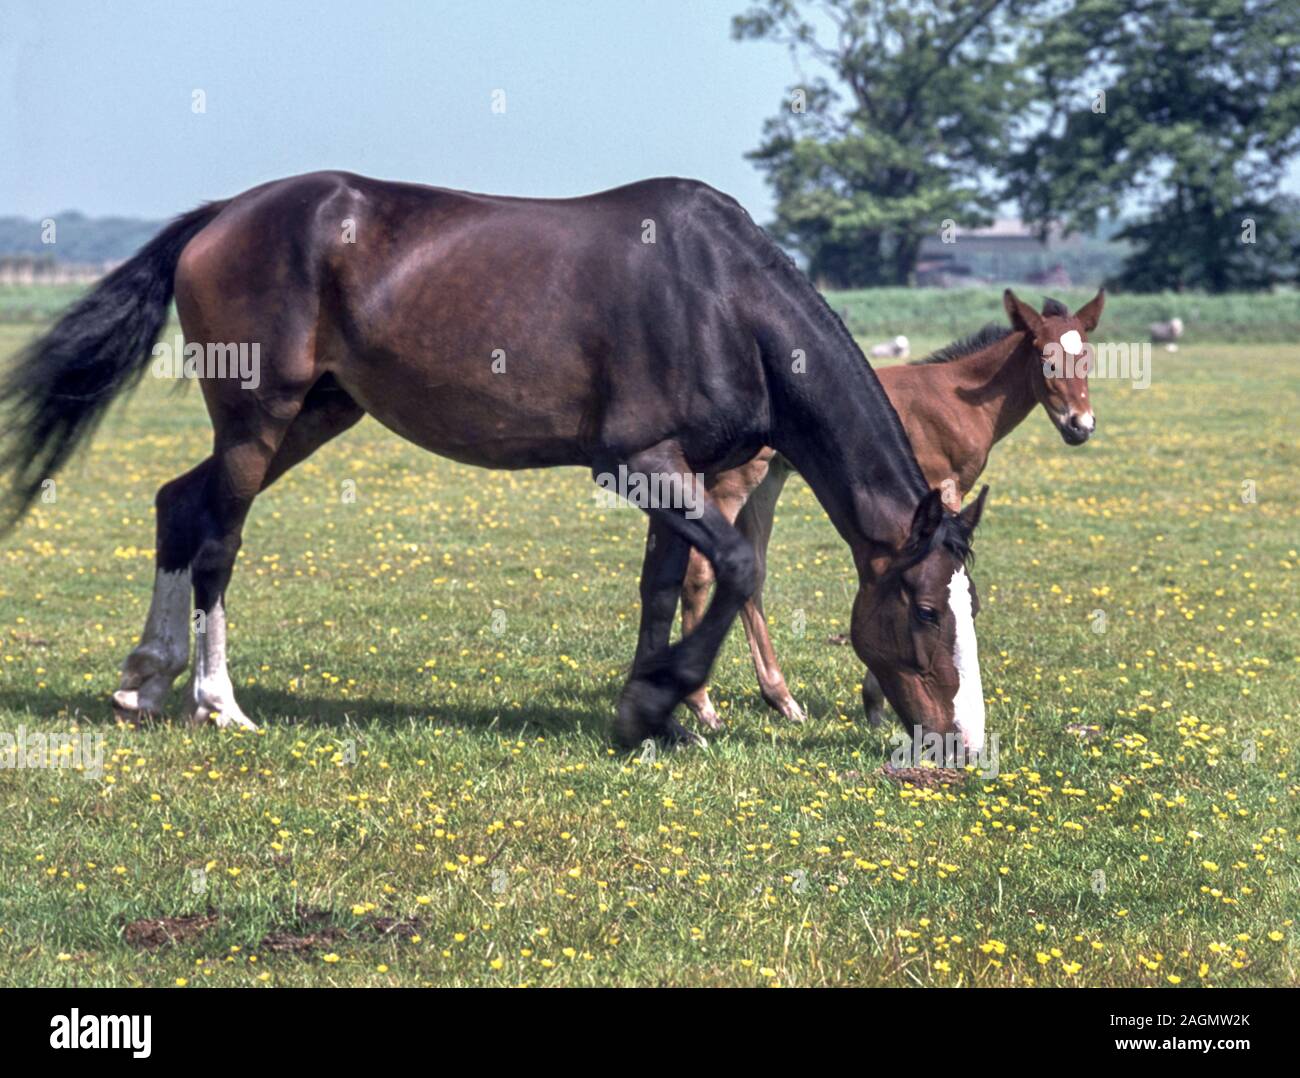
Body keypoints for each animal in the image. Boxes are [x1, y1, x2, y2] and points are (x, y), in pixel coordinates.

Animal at [0, 171, 990, 751]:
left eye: (968, 606)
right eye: (924, 608)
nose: (963, 745)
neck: (720, 298)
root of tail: (224, 215)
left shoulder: (676, 471)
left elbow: (663, 587)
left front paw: (652, 714)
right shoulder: (643, 464)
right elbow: (739, 566)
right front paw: (656, 703)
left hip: (317, 414)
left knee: (179, 504)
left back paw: (145, 681)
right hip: (259, 416)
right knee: (217, 541)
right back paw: (216, 701)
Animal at [678, 288, 1104, 731]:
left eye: (1088, 360)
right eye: (1047, 360)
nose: (1081, 425)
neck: (957, 399)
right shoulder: (942, 489)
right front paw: (877, 701)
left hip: (767, 480)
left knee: (752, 572)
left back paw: (783, 700)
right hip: (736, 481)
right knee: (701, 568)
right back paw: (703, 704)